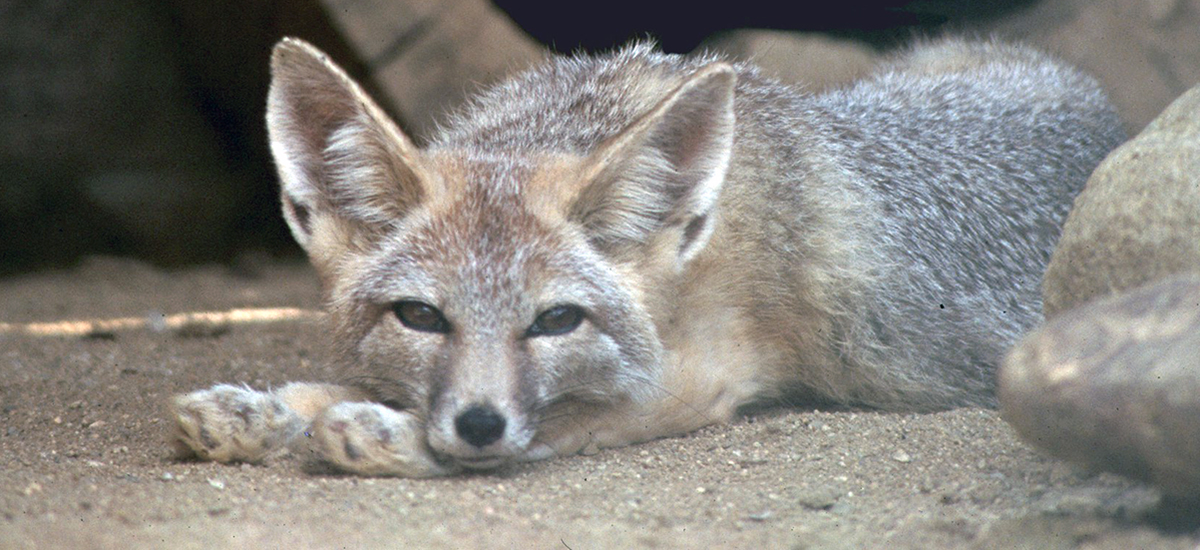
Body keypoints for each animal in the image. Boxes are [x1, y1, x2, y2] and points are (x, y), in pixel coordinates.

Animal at [169, 37, 1124, 477]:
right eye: (420, 317)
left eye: (557, 321)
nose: (477, 423)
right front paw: (266, 407)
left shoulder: (701, 377)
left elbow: (566, 420)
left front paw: (379, 431)